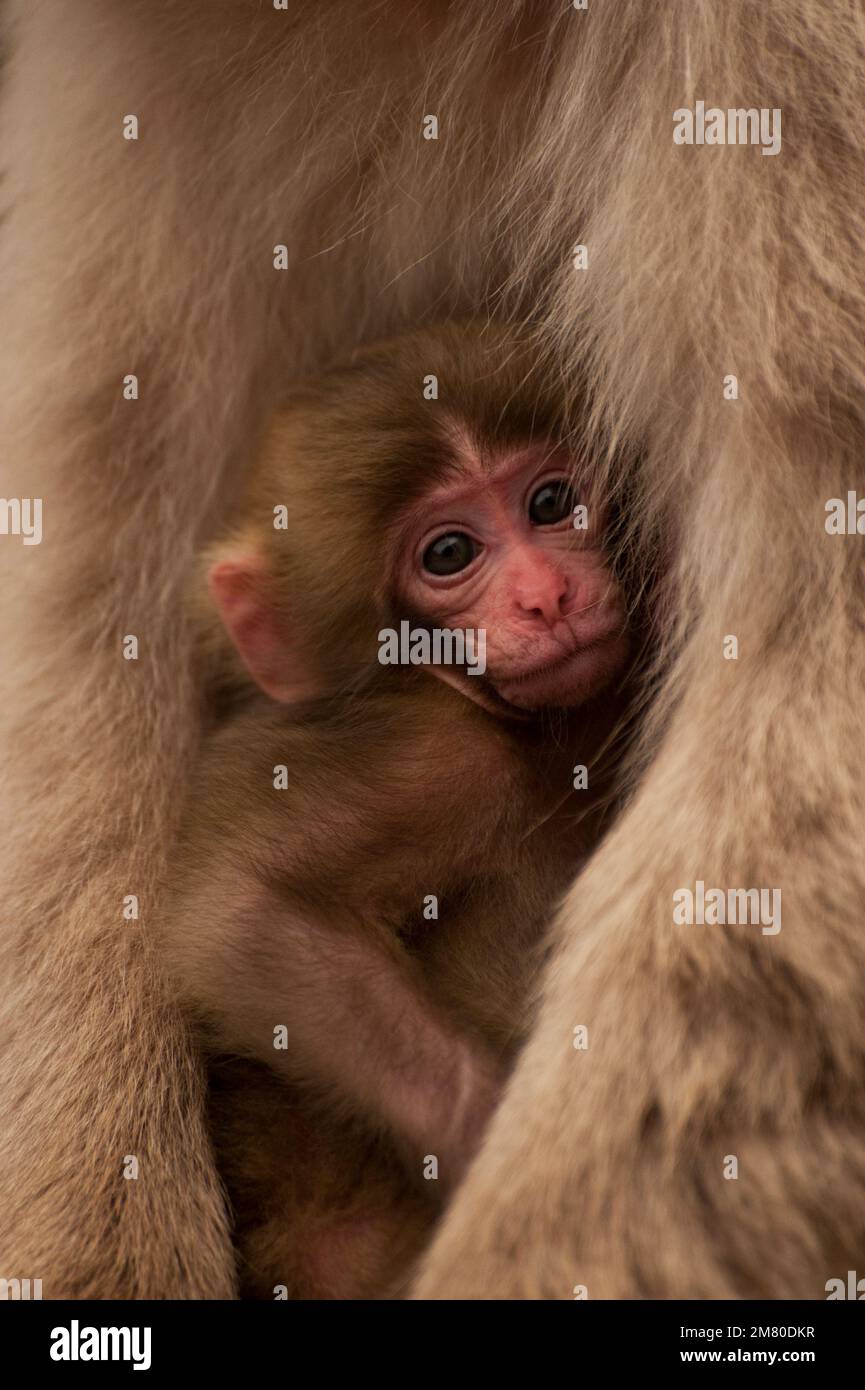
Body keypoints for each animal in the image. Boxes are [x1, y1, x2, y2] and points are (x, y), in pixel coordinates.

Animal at [162, 321, 633, 1298]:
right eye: (447, 554)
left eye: (551, 501)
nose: (547, 595)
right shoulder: (431, 751)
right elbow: (236, 909)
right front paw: (491, 1148)